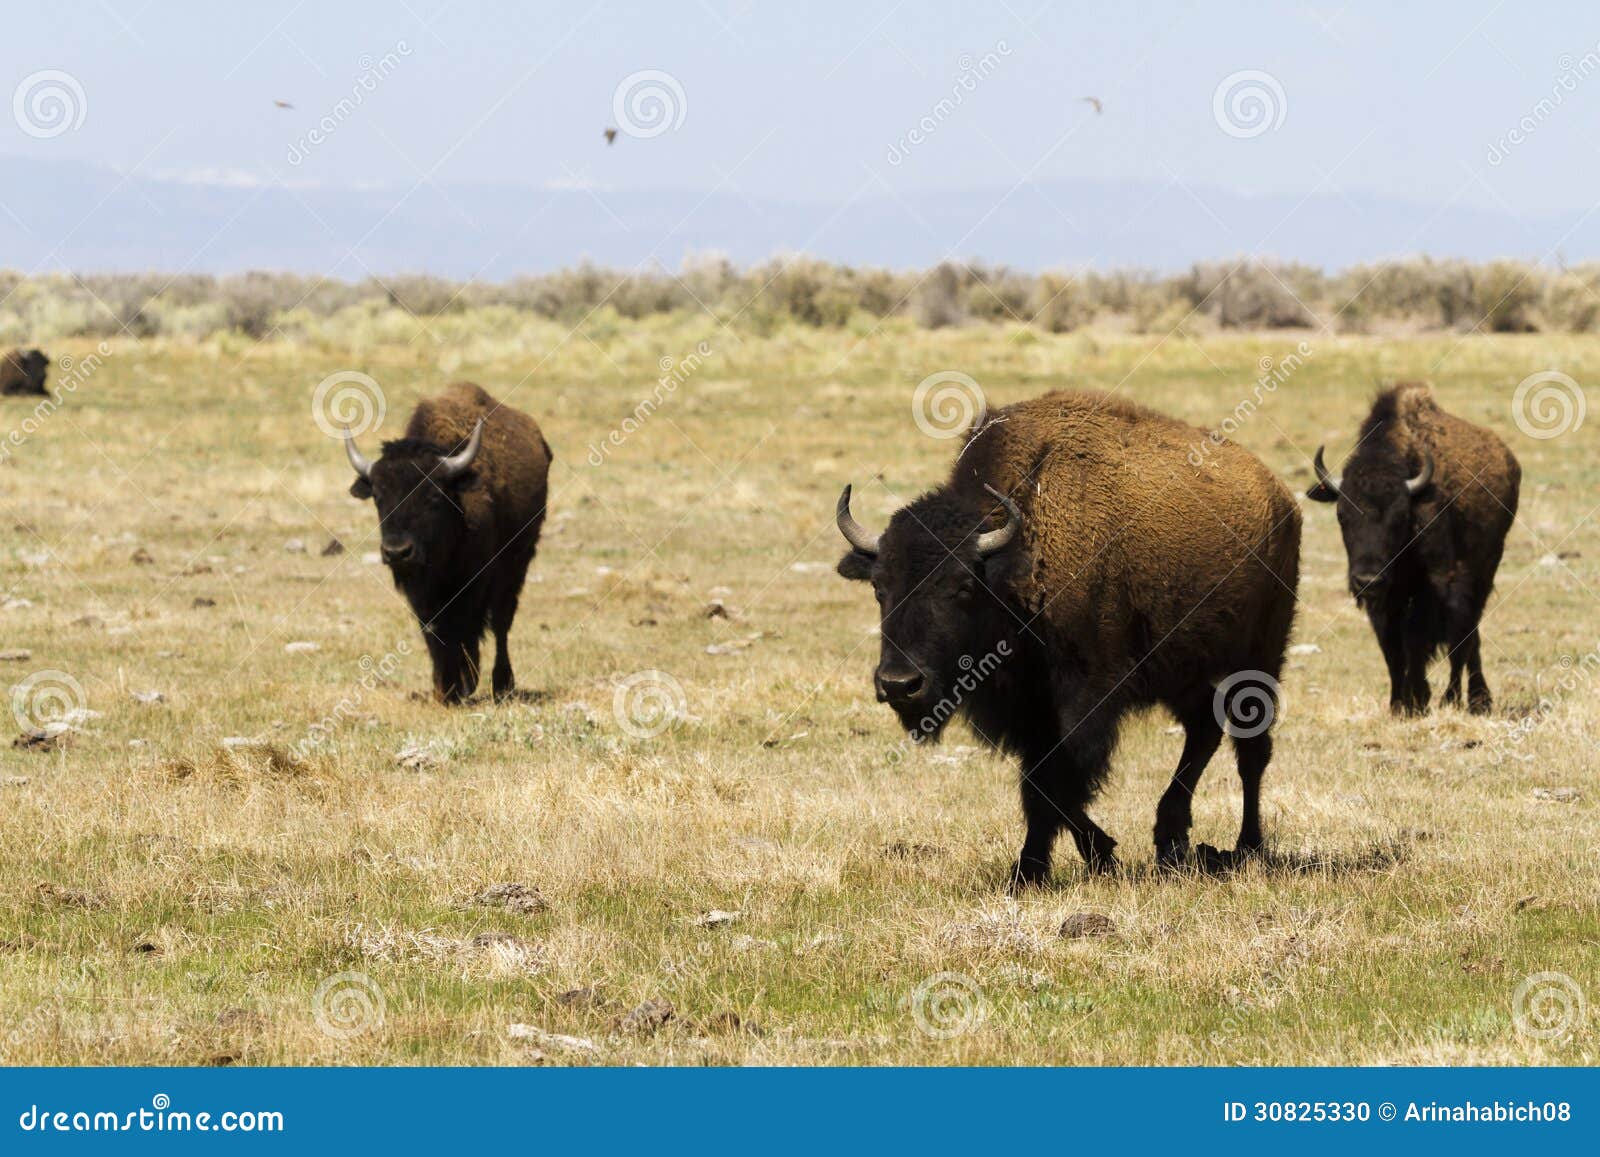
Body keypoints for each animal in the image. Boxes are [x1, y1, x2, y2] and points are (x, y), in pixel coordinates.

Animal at [343, 382, 552, 704]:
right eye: (378, 496)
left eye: (433, 495)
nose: (397, 552)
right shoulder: (421, 593)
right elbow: (434, 630)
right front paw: (445, 687)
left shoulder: (475, 581)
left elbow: (466, 626)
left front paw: (463, 683)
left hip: (517, 562)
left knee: (502, 621)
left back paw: (502, 684)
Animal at [836, 390, 1302, 884]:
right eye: (879, 587)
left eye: (962, 587)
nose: (899, 684)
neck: (1019, 558)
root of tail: (1281, 499)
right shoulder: (1028, 709)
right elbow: (1042, 781)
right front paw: (1085, 855)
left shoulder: (1083, 699)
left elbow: (1055, 780)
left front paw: (1037, 868)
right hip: (1185, 671)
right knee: (1204, 730)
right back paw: (1171, 841)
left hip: (1258, 660)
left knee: (1251, 749)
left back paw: (1246, 847)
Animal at [1308, 382, 1519, 715]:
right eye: (1342, 514)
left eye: (1401, 517)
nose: (1367, 580)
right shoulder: (1385, 603)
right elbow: (1392, 649)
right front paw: (1398, 704)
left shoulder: (1431, 588)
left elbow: (1418, 641)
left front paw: (1418, 699)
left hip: (1482, 575)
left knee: (1466, 639)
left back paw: (1468, 699)